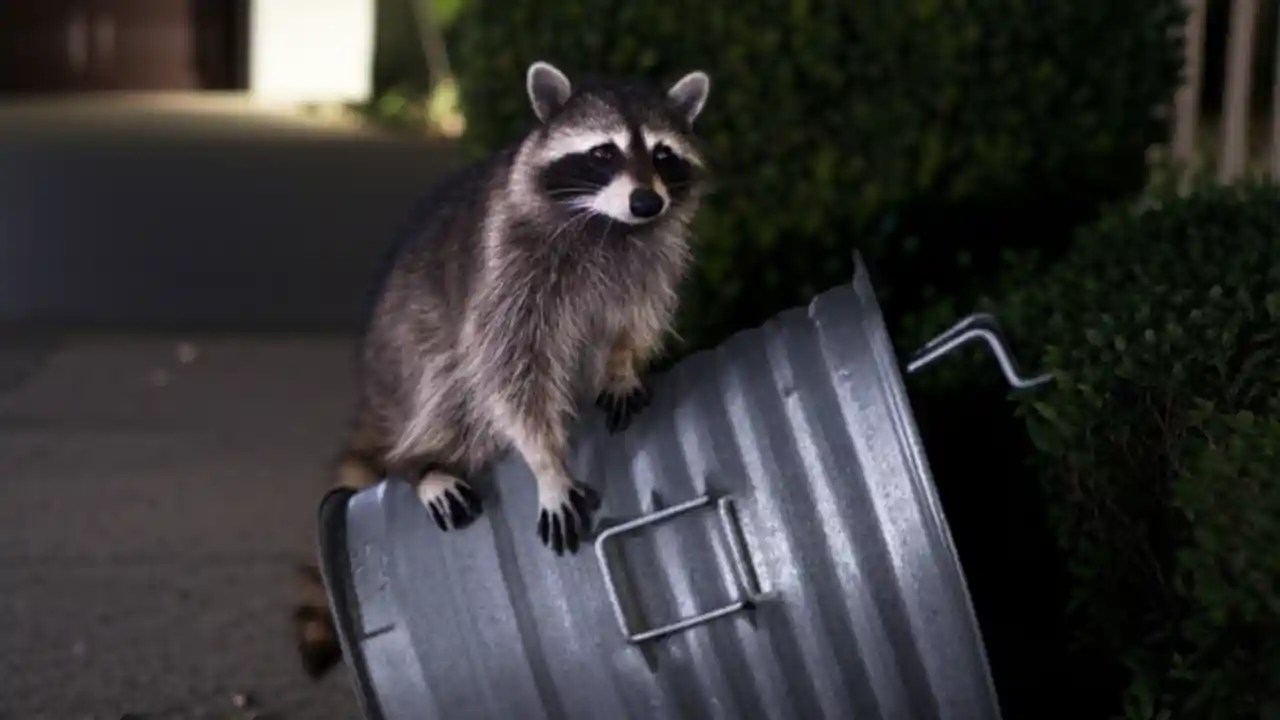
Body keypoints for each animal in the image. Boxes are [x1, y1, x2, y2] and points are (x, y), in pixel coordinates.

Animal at [294, 61, 711, 677]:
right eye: (604, 153)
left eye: (663, 155)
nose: (646, 202)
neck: (605, 224)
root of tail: (377, 385)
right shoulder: (508, 268)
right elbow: (509, 368)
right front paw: (546, 464)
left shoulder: (650, 258)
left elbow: (635, 318)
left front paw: (621, 364)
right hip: (412, 348)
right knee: (449, 383)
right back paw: (423, 462)